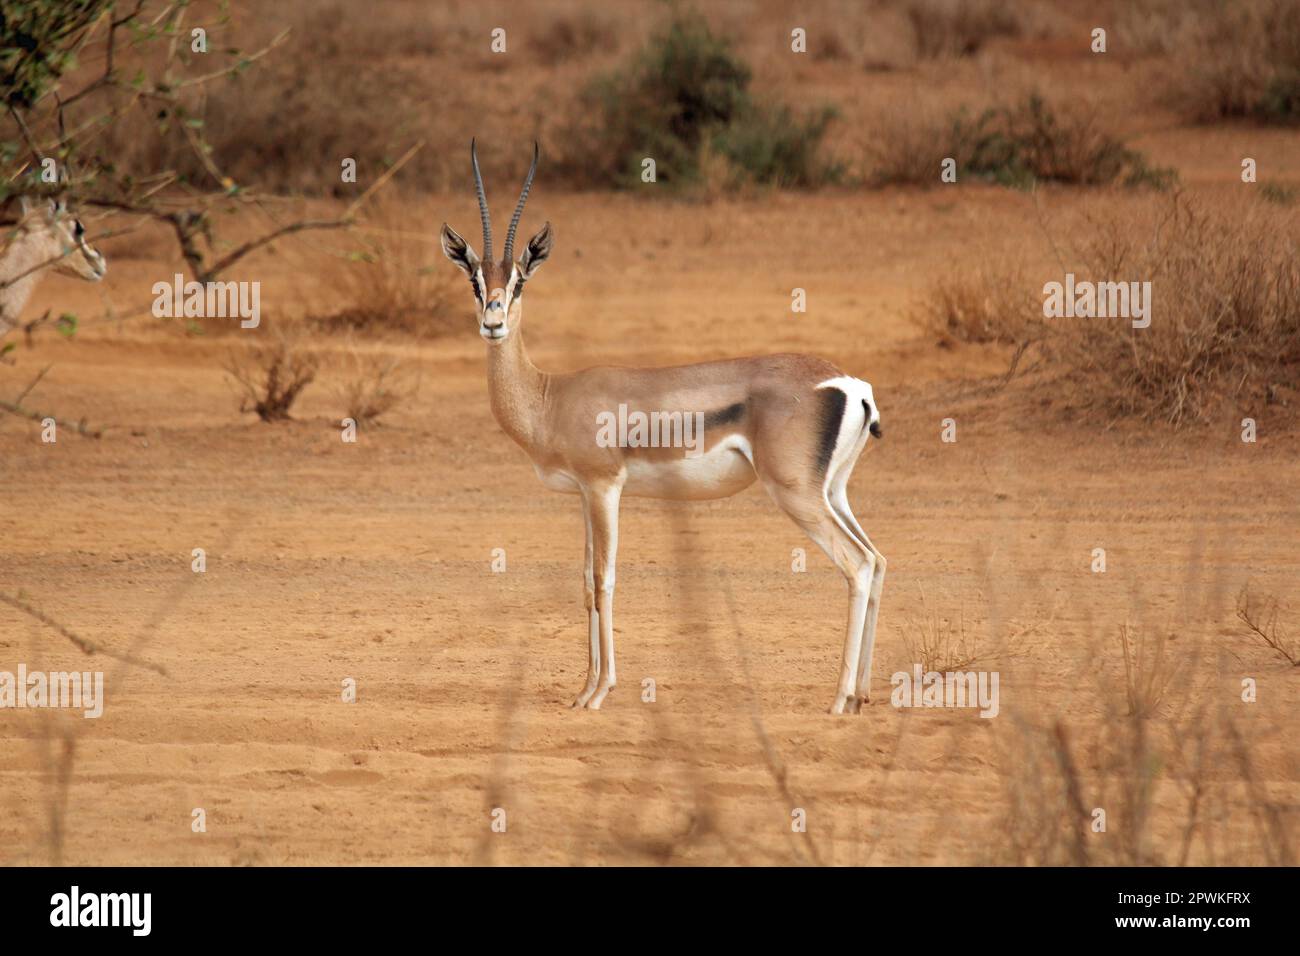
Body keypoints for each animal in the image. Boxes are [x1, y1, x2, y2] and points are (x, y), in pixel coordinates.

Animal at [441, 142, 885, 714]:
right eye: (475, 281)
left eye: (518, 282)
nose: (492, 323)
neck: (550, 396)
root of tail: (850, 384)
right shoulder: (583, 495)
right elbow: (584, 581)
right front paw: (581, 690)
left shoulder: (605, 488)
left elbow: (604, 580)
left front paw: (600, 693)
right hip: (834, 492)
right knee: (878, 560)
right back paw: (861, 696)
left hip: (798, 495)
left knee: (857, 563)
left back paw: (837, 700)